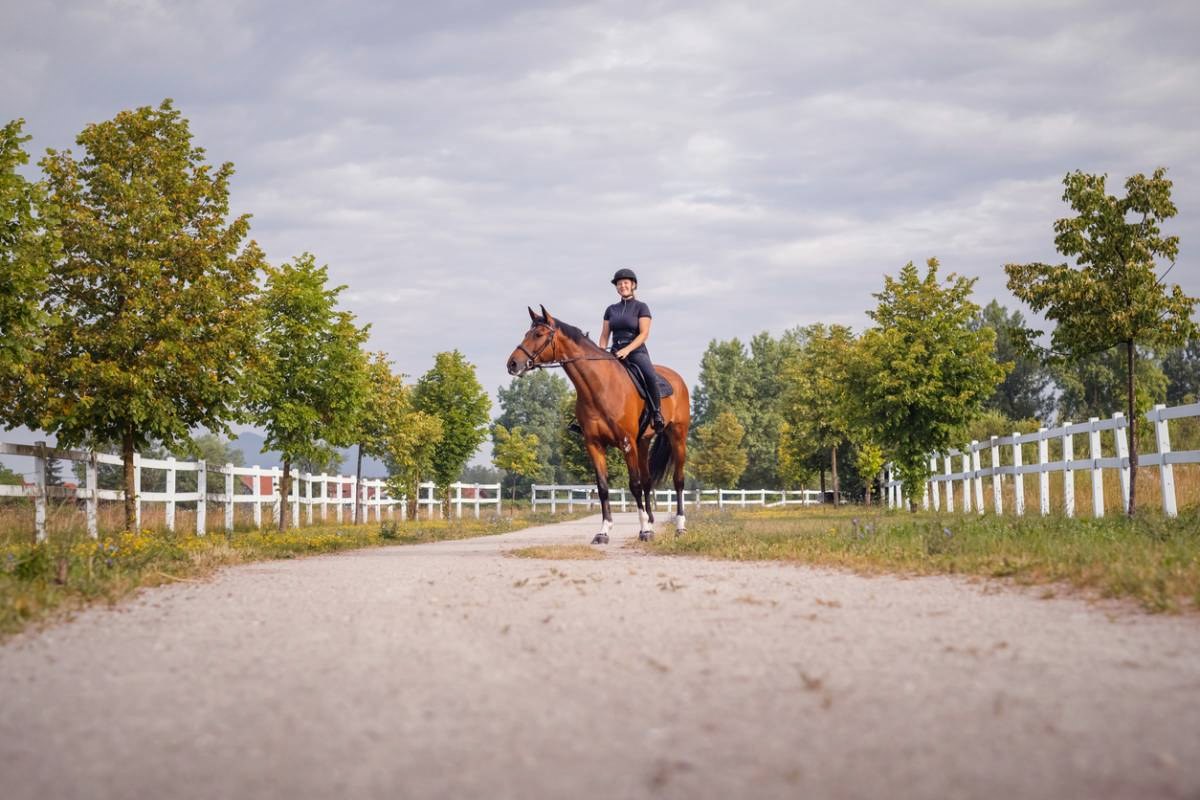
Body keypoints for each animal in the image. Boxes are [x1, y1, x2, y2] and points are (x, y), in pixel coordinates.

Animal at [506, 307, 696, 544]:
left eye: (539, 335)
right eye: (527, 333)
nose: (512, 364)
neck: (601, 386)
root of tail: (677, 379)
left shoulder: (626, 443)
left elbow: (634, 485)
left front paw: (643, 529)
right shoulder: (594, 444)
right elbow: (604, 487)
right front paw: (604, 531)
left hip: (677, 436)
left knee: (678, 481)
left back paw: (680, 527)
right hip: (643, 442)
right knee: (648, 481)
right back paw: (652, 525)